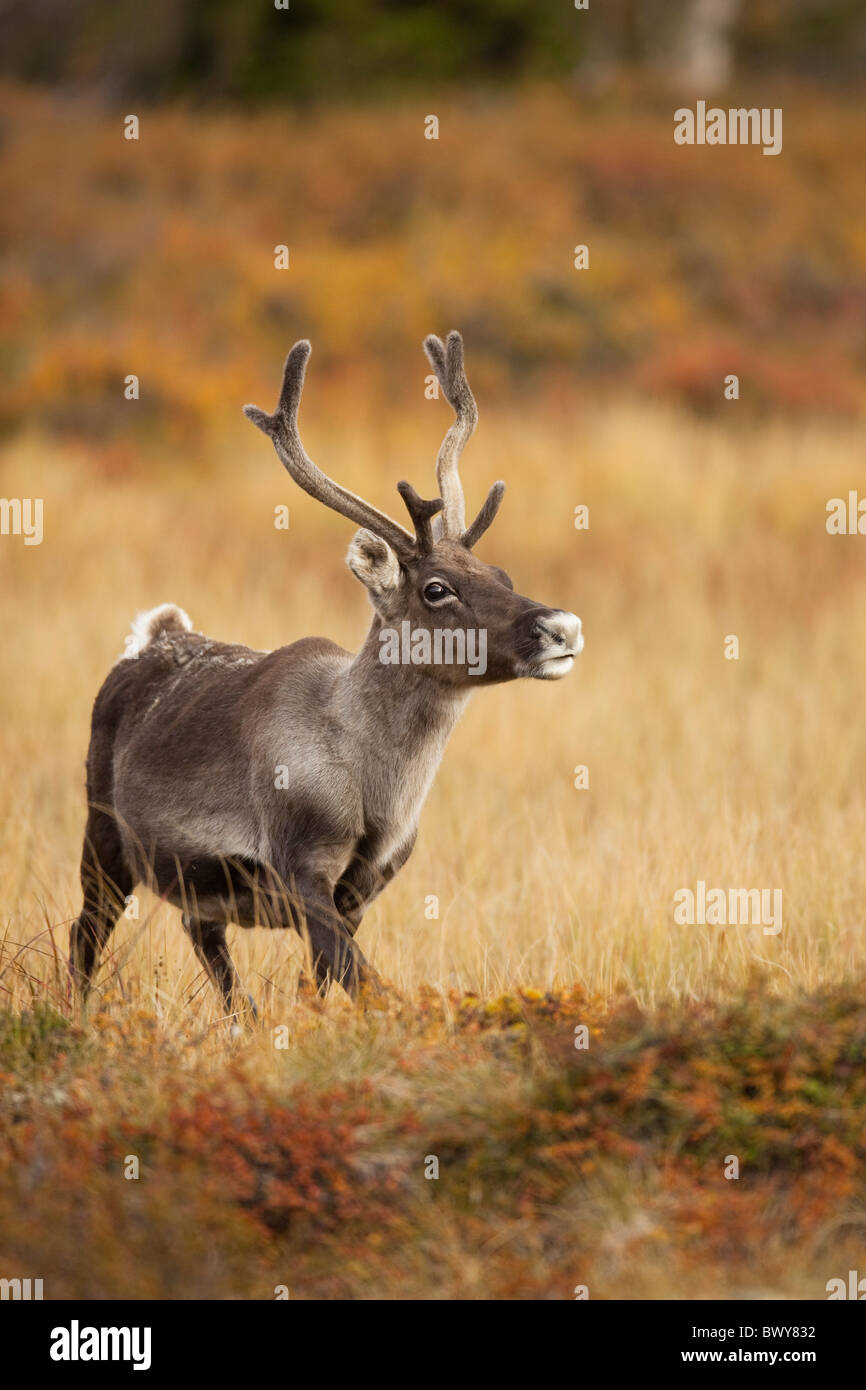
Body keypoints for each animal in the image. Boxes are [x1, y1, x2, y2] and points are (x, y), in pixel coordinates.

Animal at [69, 332, 583, 1019]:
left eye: (501, 573)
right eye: (436, 588)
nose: (562, 626)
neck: (376, 788)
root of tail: (156, 631)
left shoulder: (362, 887)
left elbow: (322, 980)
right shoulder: (302, 863)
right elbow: (362, 981)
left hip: (198, 885)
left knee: (202, 937)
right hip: (103, 834)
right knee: (85, 932)